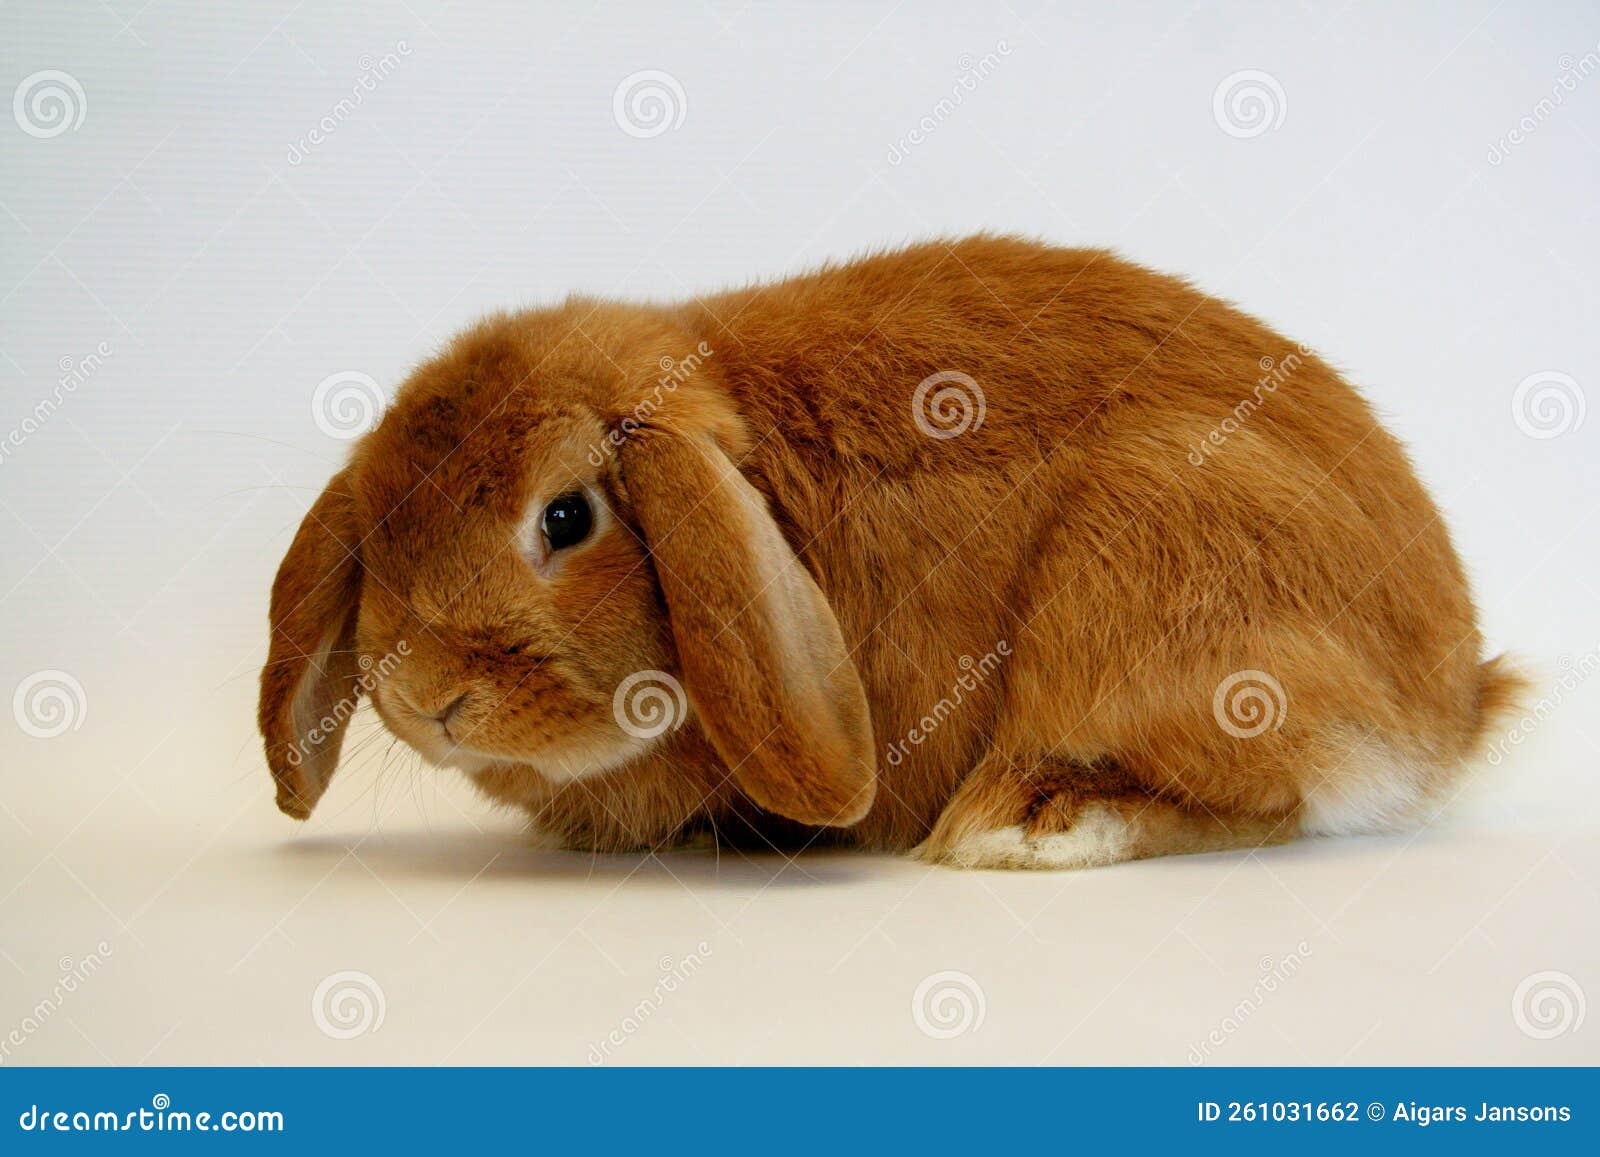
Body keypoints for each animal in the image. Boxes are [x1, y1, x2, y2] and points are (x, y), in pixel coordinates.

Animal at [258, 235, 1525, 869]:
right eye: (379, 532)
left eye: (566, 518)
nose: (426, 692)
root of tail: (1451, 699)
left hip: (1158, 574)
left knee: (1267, 795)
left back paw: (1034, 822)